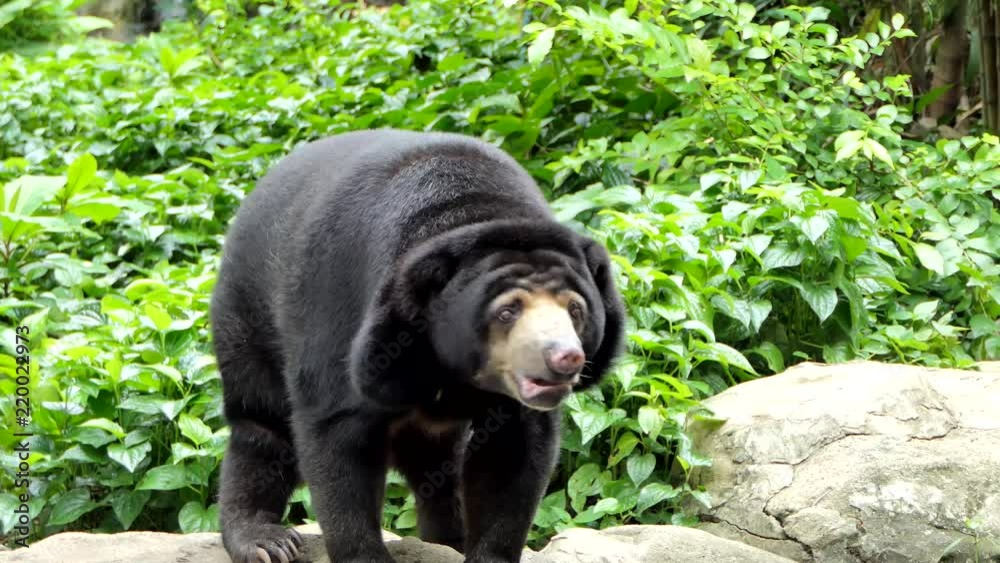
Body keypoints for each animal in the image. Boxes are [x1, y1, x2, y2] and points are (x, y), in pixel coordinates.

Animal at [210, 129, 624, 563]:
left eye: (575, 309)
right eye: (507, 311)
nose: (563, 358)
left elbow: (512, 454)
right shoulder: (350, 317)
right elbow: (337, 433)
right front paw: (365, 556)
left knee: (437, 463)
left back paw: (447, 538)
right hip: (248, 309)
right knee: (262, 421)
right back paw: (264, 539)